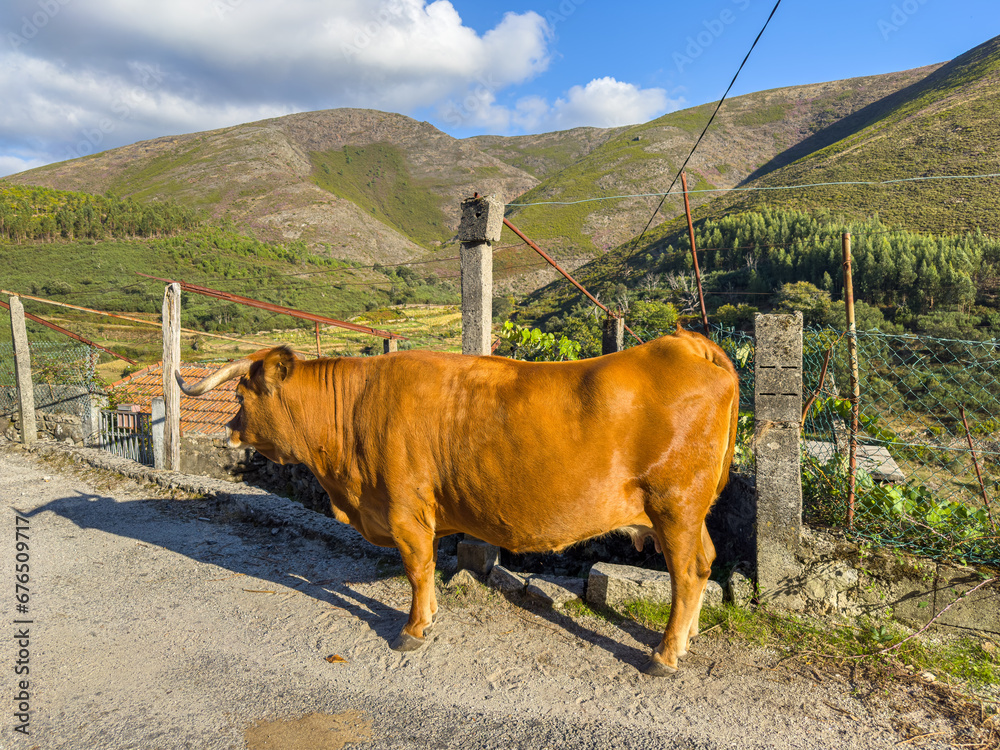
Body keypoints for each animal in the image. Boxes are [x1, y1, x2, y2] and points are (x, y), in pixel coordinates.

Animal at [176, 326, 739, 676]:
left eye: (241, 396)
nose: (228, 430)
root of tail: (681, 343)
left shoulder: (405, 511)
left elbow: (418, 569)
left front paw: (414, 628)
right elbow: (425, 570)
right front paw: (428, 618)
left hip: (675, 507)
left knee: (687, 571)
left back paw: (665, 654)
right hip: (689, 513)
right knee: (705, 563)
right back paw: (685, 638)